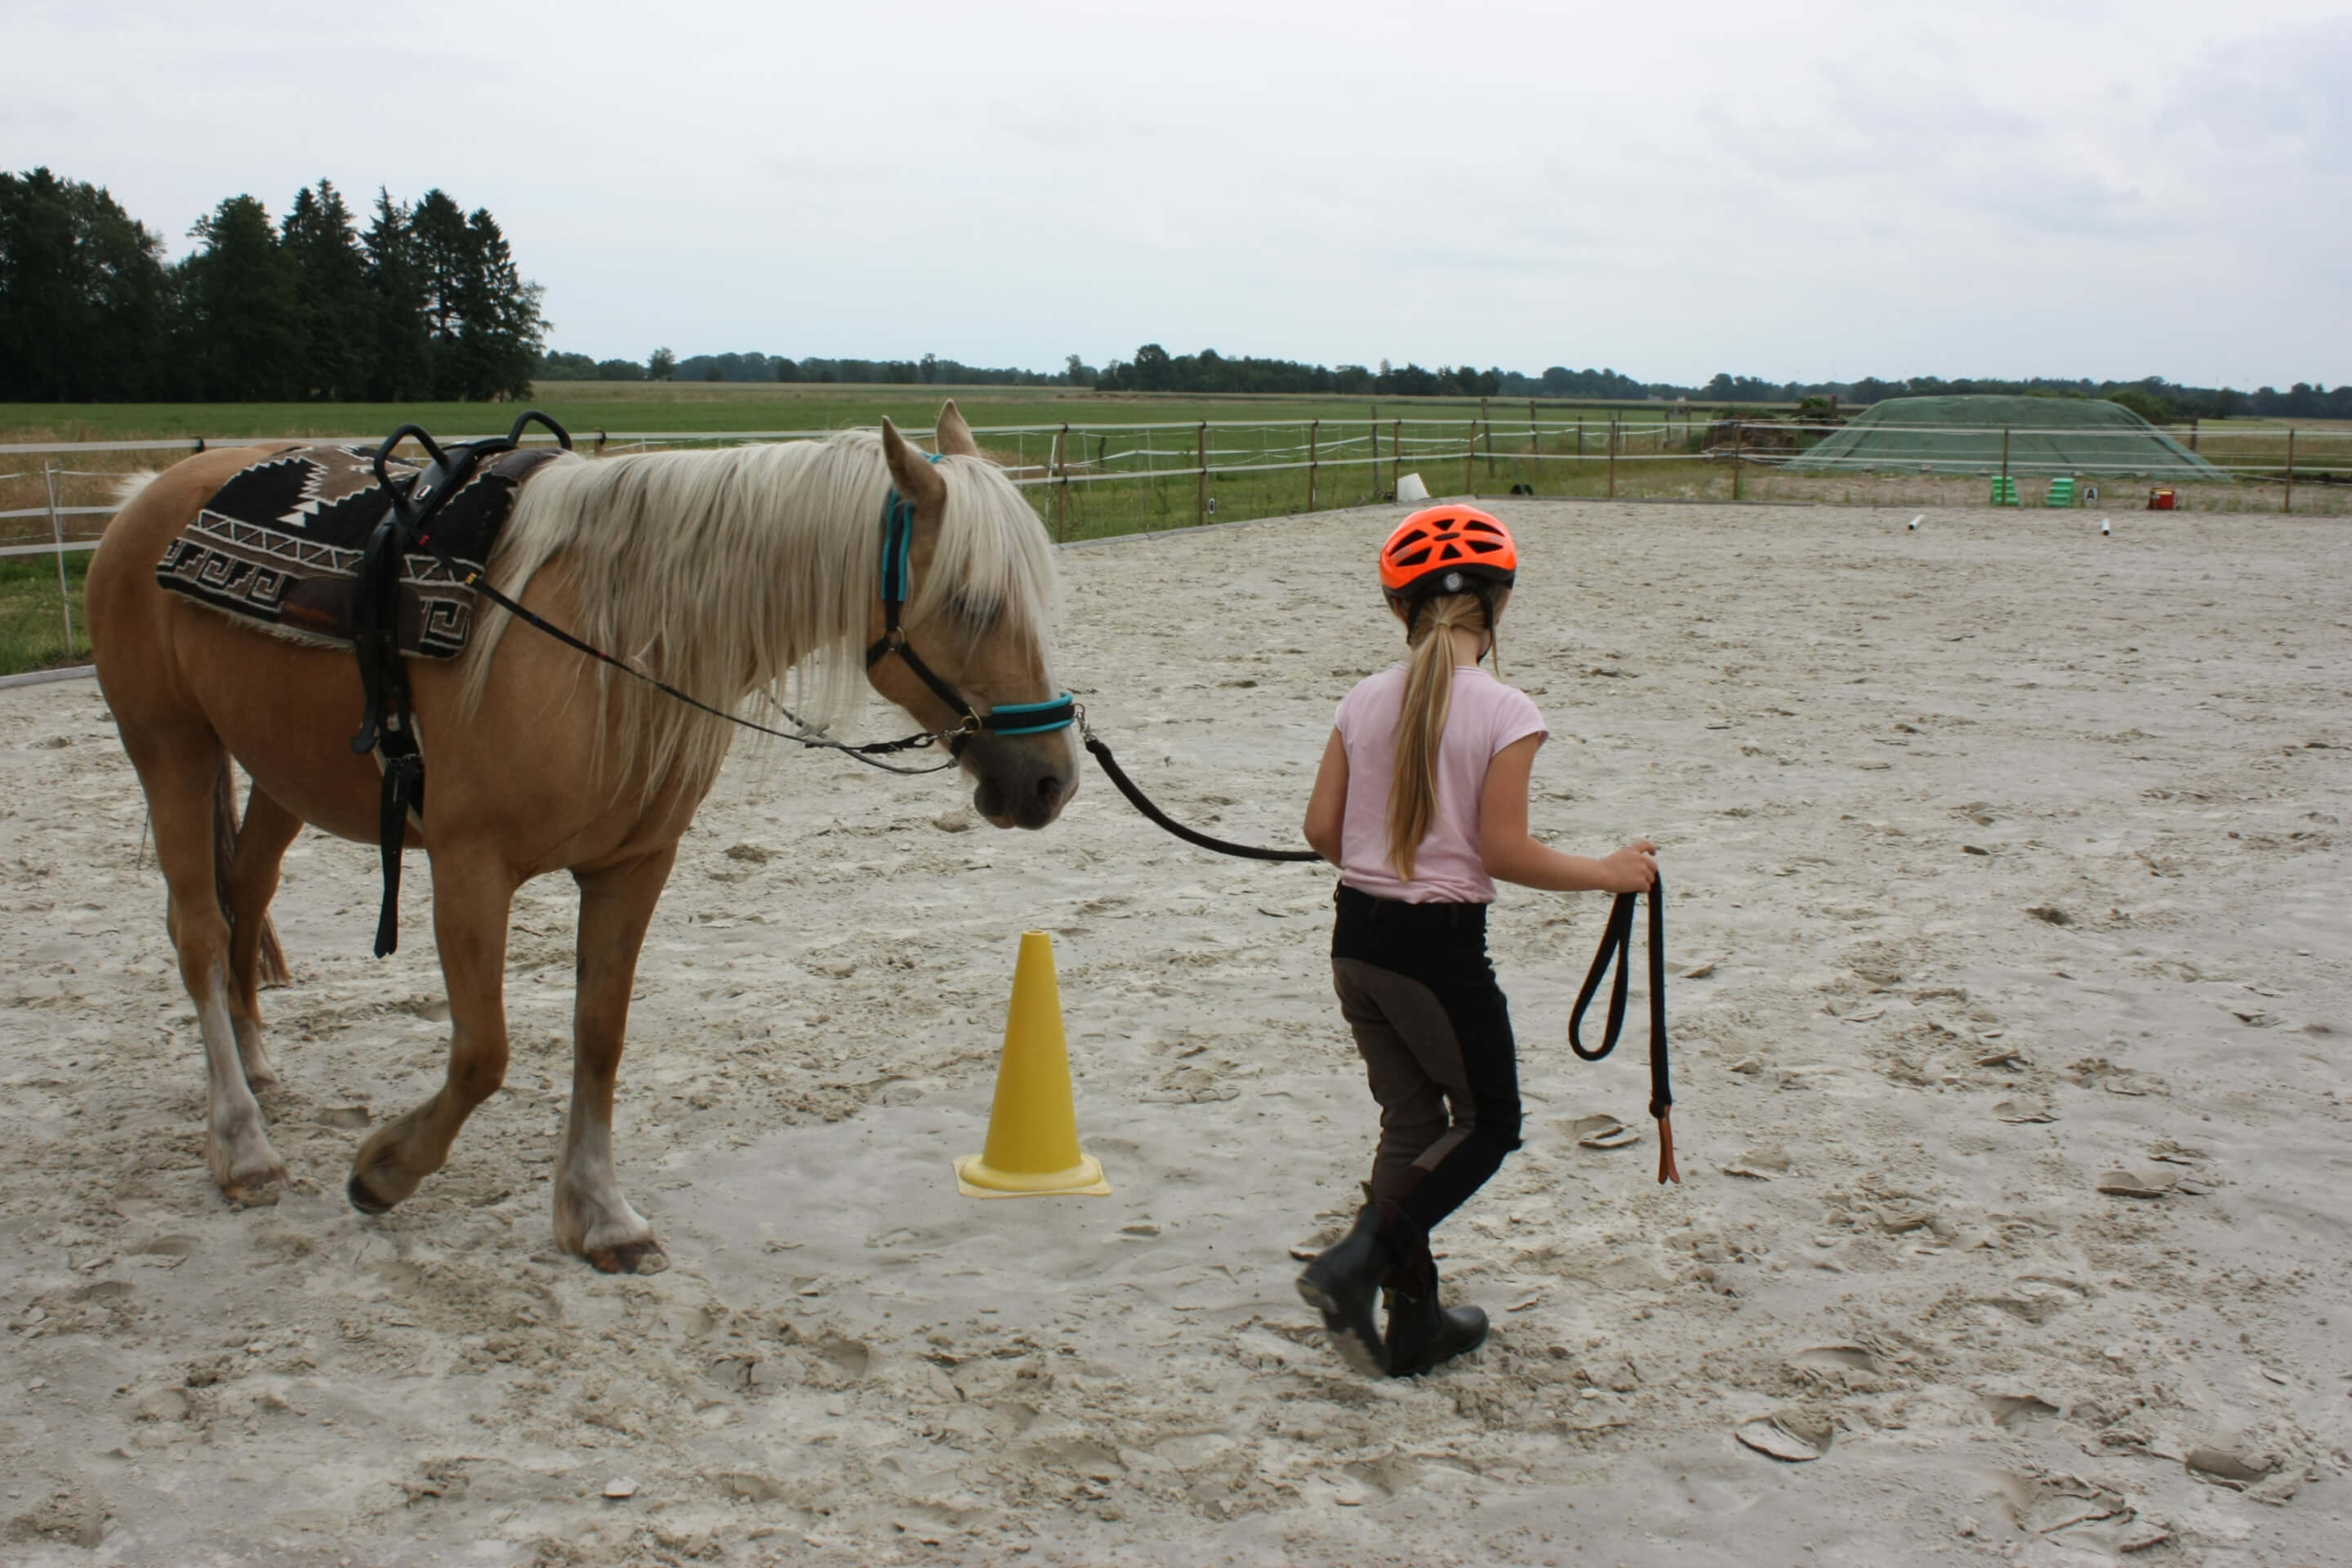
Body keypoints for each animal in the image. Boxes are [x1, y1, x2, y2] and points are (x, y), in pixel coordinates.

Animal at [84, 403, 1077, 1273]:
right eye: (973, 604)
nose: (1051, 781)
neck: (612, 635)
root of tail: (146, 494)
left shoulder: (632, 867)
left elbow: (601, 1035)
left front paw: (600, 1217)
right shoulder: (469, 866)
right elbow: (483, 1053)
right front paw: (384, 1172)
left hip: (274, 770)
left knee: (246, 896)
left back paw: (256, 1064)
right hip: (171, 748)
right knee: (198, 932)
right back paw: (242, 1144)